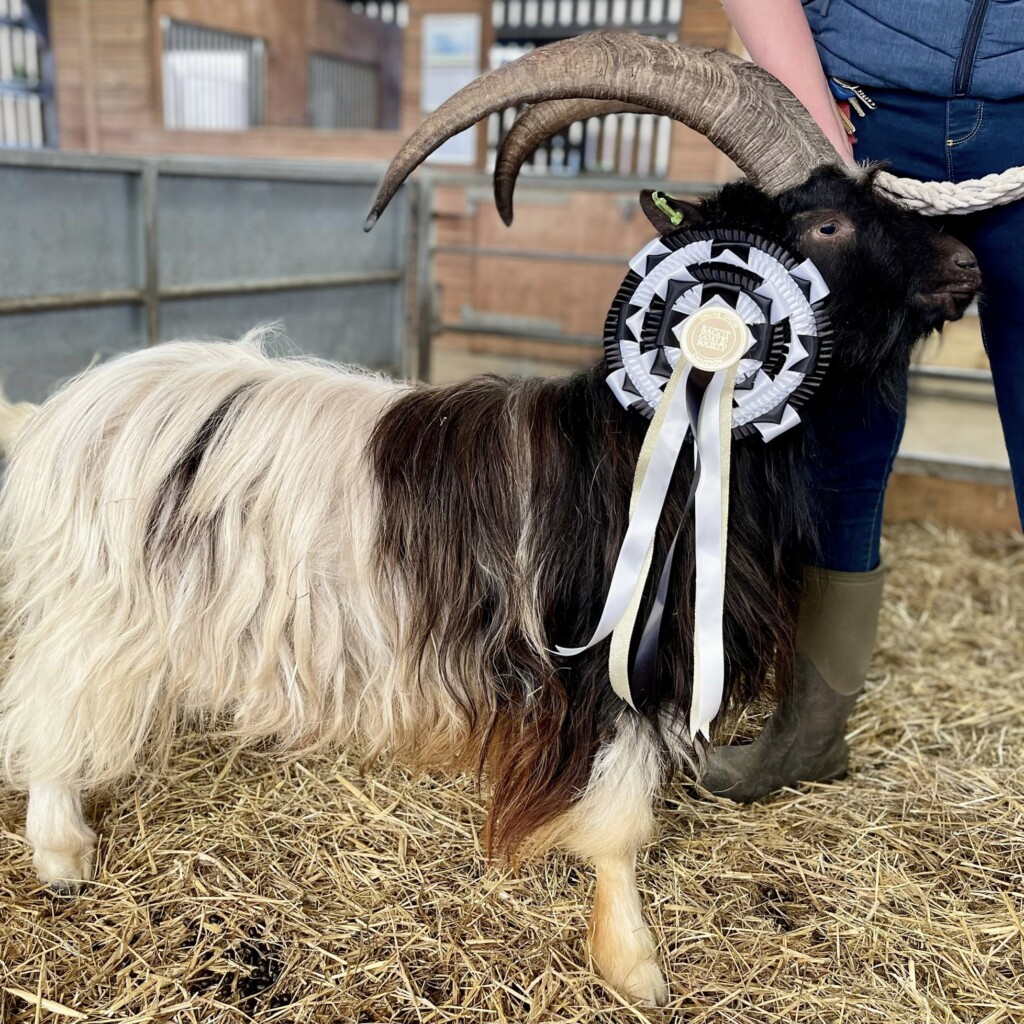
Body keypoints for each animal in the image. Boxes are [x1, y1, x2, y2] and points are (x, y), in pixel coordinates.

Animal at [0, 34, 980, 1006]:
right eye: (825, 227)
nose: (967, 266)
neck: (650, 444)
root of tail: (60, 413)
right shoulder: (604, 664)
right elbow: (619, 819)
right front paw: (632, 963)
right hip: (102, 609)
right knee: (48, 703)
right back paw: (62, 853)